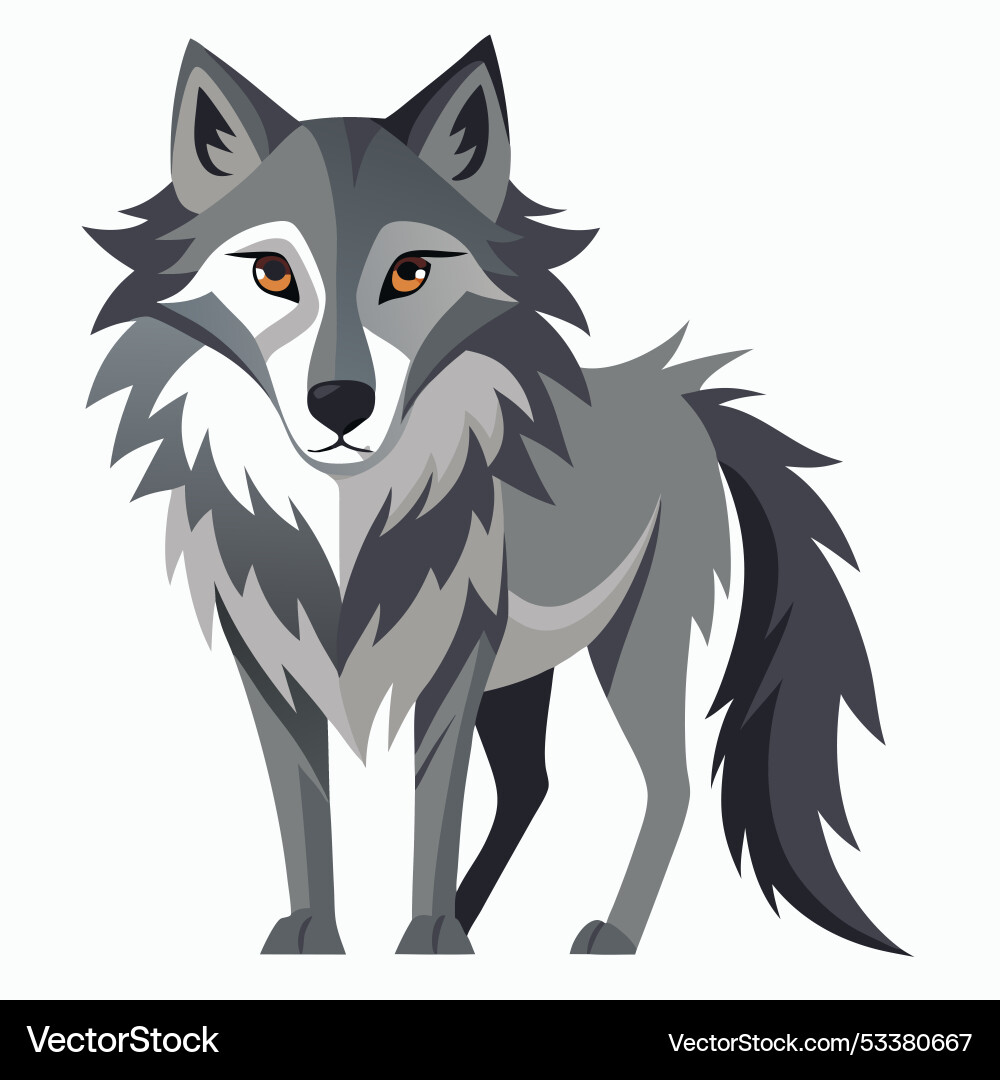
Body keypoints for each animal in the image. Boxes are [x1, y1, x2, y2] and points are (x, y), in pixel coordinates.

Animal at [87, 37, 901, 955]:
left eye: (409, 274)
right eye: (270, 272)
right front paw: (316, 938)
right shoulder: (272, 663)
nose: (340, 403)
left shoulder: (455, 663)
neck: (345, 519)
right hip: (526, 676)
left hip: (633, 647)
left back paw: (606, 936)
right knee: (531, 784)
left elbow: (432, 811)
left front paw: (428, 936)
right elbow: (304, 810)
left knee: (670, 784)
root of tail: (682, 395)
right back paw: (479, 918)